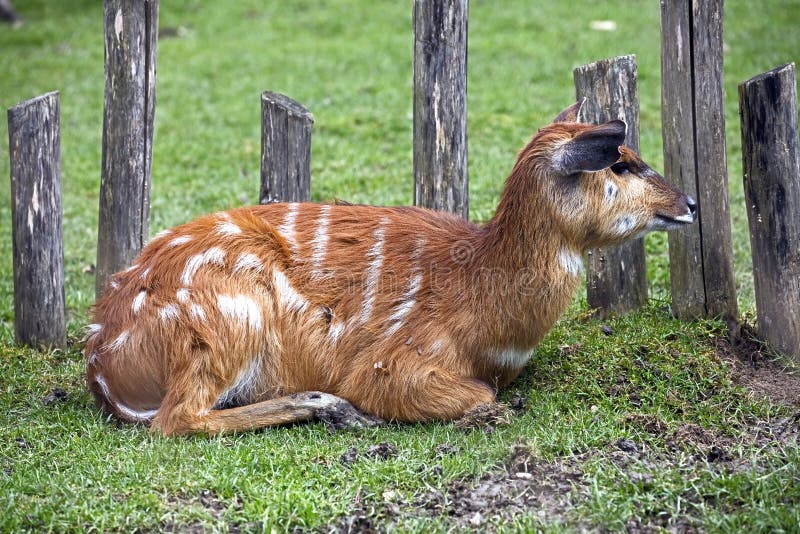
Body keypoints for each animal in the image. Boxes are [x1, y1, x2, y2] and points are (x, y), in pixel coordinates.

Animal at [85, 100, 697, 435]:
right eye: (622, 163)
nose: (690, 203)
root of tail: (103, 365)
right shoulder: (392, 363)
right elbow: (482, 396)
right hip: (231, 317)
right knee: (177, 420)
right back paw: (335, 408)